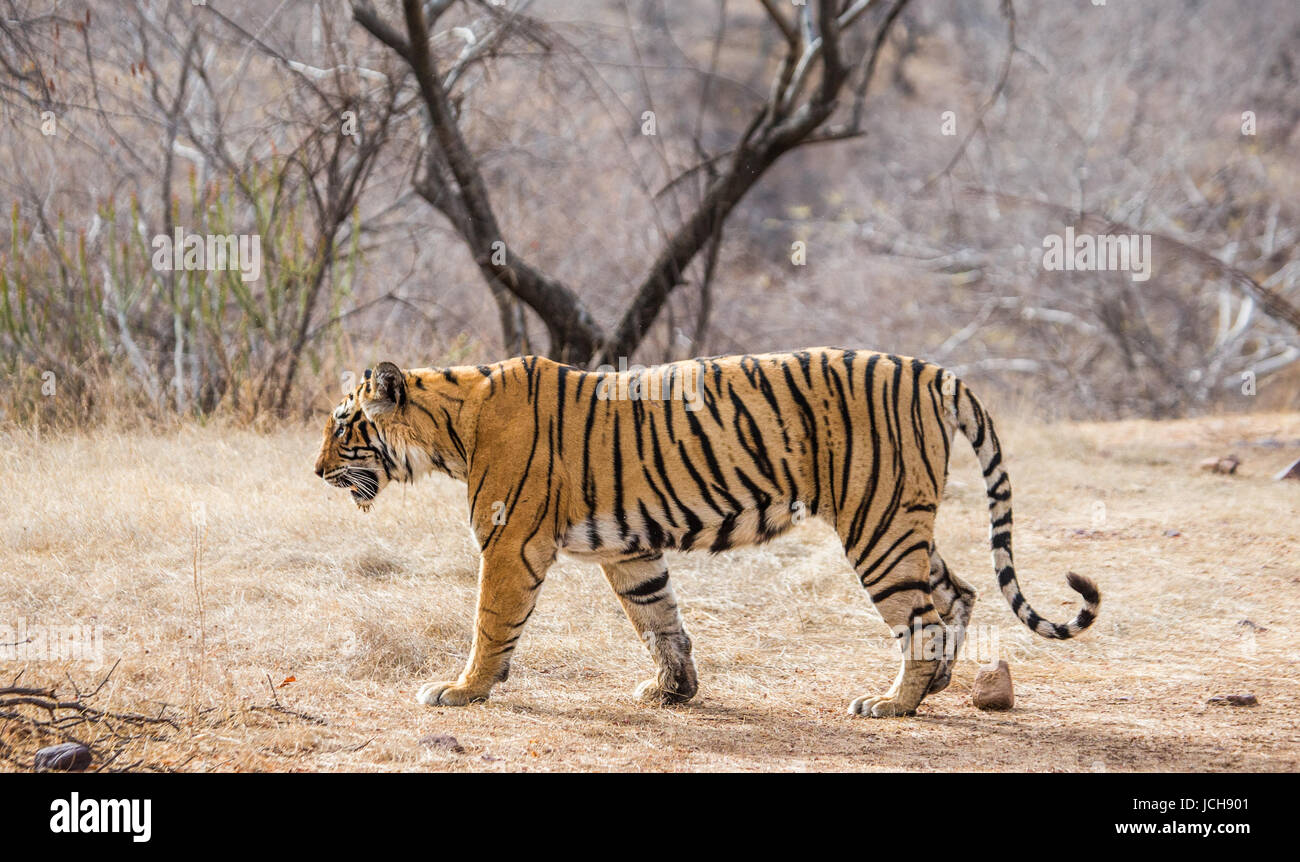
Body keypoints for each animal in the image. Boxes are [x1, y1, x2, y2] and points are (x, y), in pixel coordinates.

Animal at [314, 348, 1100, 717]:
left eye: (343, 428)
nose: (316, 470)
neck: (451, 427)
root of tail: (933, 370)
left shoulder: (510, 544)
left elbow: (489, 622)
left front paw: (462, 690)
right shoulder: (629, 548)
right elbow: (658, 619)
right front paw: (673, 690)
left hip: (878, 525)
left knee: (922, 615)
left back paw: (893, 703)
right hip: (901, 520)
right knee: (957, 592)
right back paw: (935, 687)